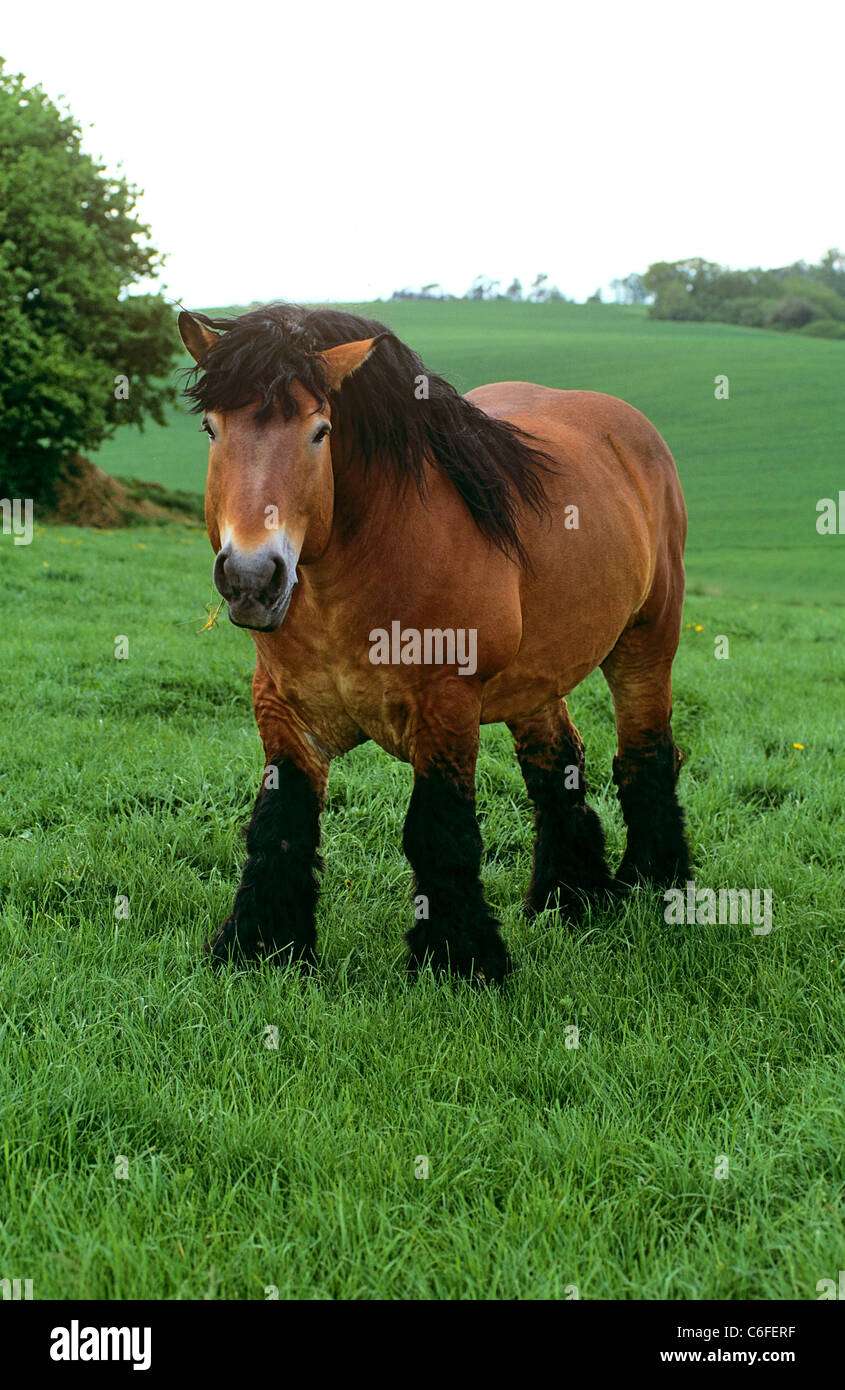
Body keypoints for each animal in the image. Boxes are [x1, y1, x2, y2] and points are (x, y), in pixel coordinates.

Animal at [178, 303, 691, 984]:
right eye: (211, 429)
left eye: (320, 432)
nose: (252, 578)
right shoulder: (283, 708)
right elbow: (280, 824)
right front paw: (260, 947)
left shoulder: (446, 705)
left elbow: (438, 829)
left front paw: (460, 960)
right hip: (536, 680)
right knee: (557, 766)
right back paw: (569, 898)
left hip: (646, 642)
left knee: (647, 754)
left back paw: (656, 886)